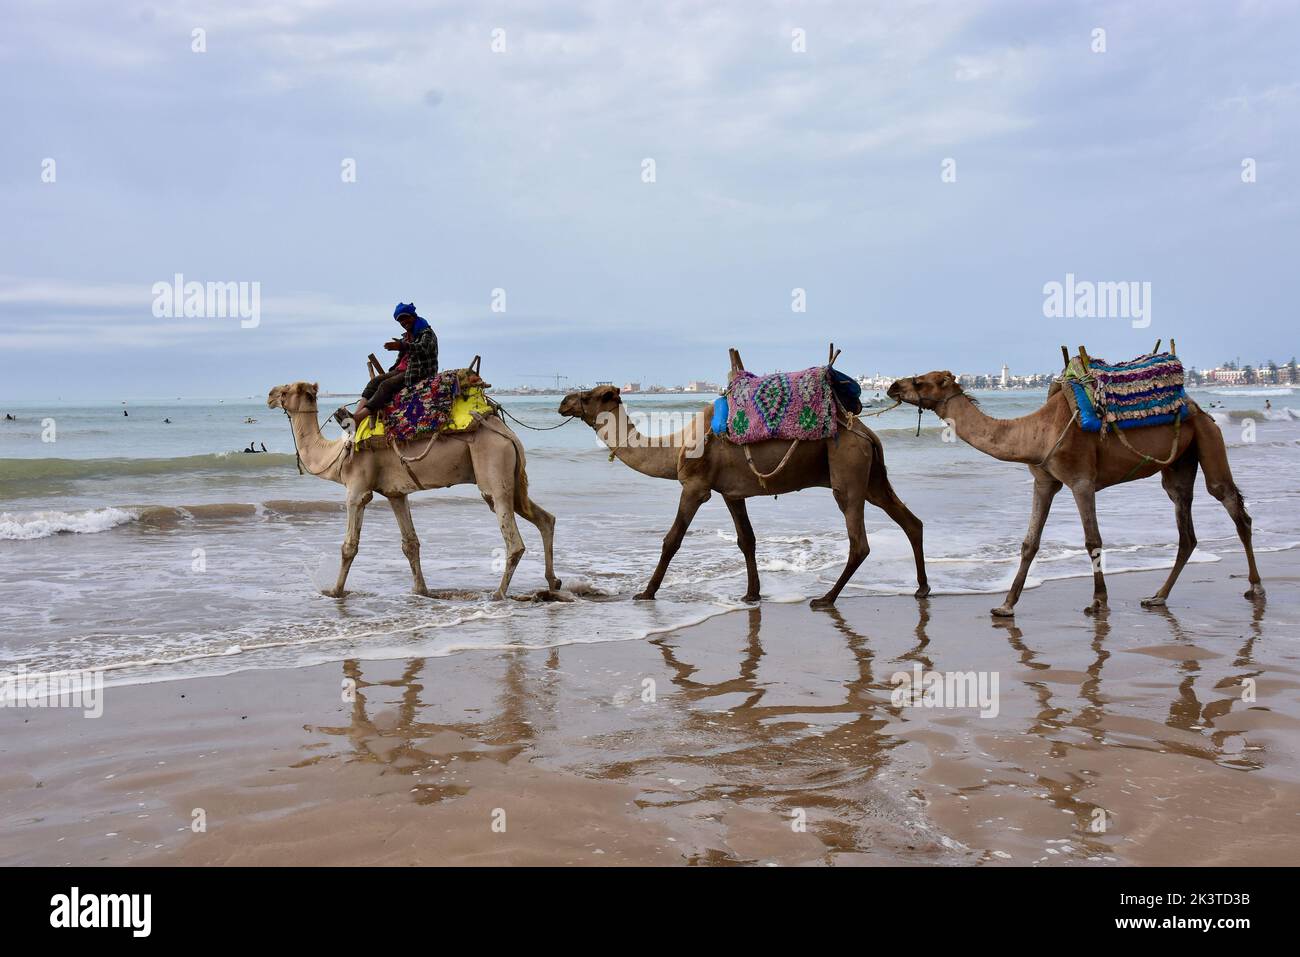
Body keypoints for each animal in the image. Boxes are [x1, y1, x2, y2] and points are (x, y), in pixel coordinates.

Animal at [267, 381, 560, 599]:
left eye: (287, 390)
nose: (269, 395)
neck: (336, 455)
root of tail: (508, 434)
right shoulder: (396, 493)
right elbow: (410, 544)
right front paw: (420, 591)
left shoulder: (357, 489)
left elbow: (349, 546)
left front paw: (334, 592)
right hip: (513, 478)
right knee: (544, 518)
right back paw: (552, 582)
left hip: (493, 467)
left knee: (513, 540)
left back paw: (498, 594)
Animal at [558, 360, 929, 608]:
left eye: (590, 396)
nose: (563, 402)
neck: (677, 445)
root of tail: (866, 433)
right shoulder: (731, 493)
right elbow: (746, 540)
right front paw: (751, 594)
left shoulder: (696, 487)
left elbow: (672, 540)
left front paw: (646, 593)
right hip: (872, 476)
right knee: (911, 521)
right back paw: (921, 588)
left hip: (847, 470)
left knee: (859, 541)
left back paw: (826, 598)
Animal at [887, 370, 1264, 617]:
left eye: (920, 381)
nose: (891, 386)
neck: (1035, 432)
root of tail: (1199, 409)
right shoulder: (1044, 481)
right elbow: (1029, 543)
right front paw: (1006, 605)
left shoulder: (1082, 480)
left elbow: (1092, 540)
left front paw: (1098, 602)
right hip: (1179, 464)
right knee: (1185, 524)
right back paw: (1157, 597)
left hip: (1207, 438)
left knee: (1232, 505)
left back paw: (1256, 588)